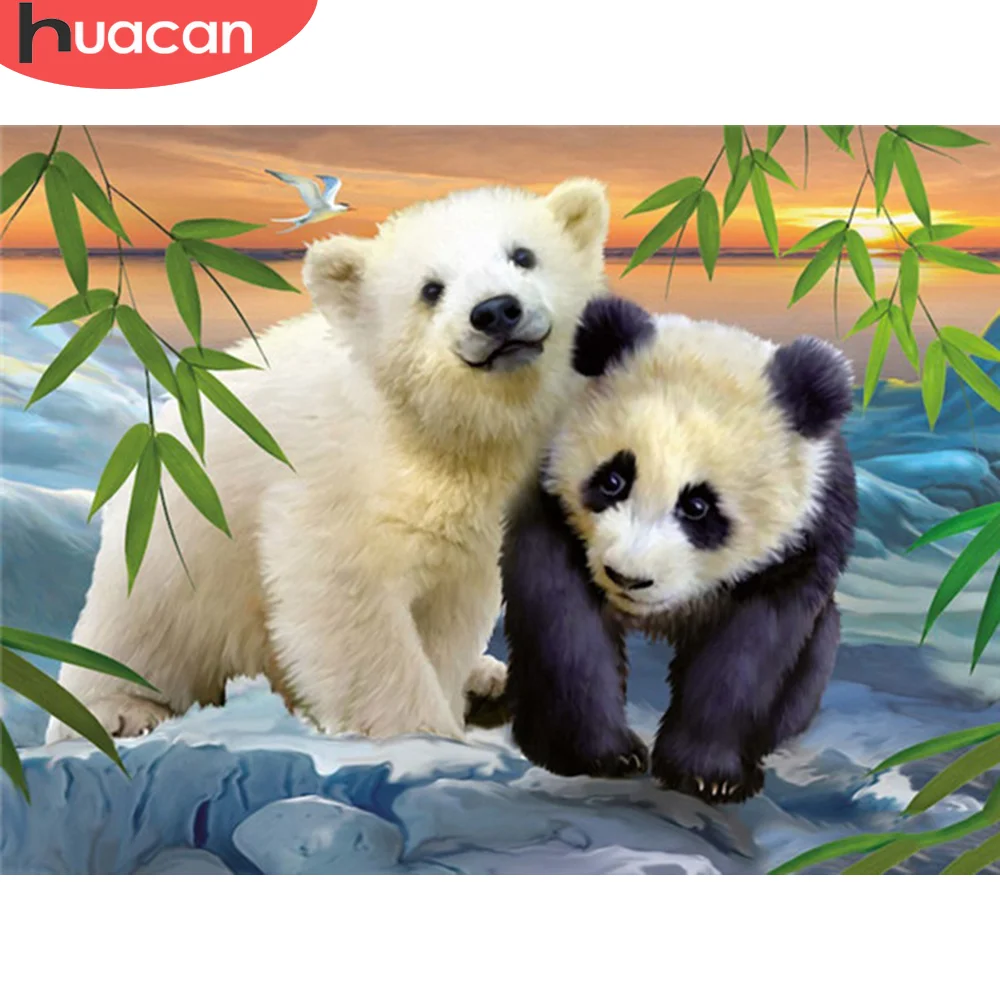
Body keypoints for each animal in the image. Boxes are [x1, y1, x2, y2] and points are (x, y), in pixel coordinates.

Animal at [500, 296, 858, 804]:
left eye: (698, 507)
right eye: (613, 480)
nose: (628, 578)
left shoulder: (803, 541)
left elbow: (751, 652)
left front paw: (707, 774)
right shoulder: (549, 503)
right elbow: (562, 620)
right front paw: (594, 753)